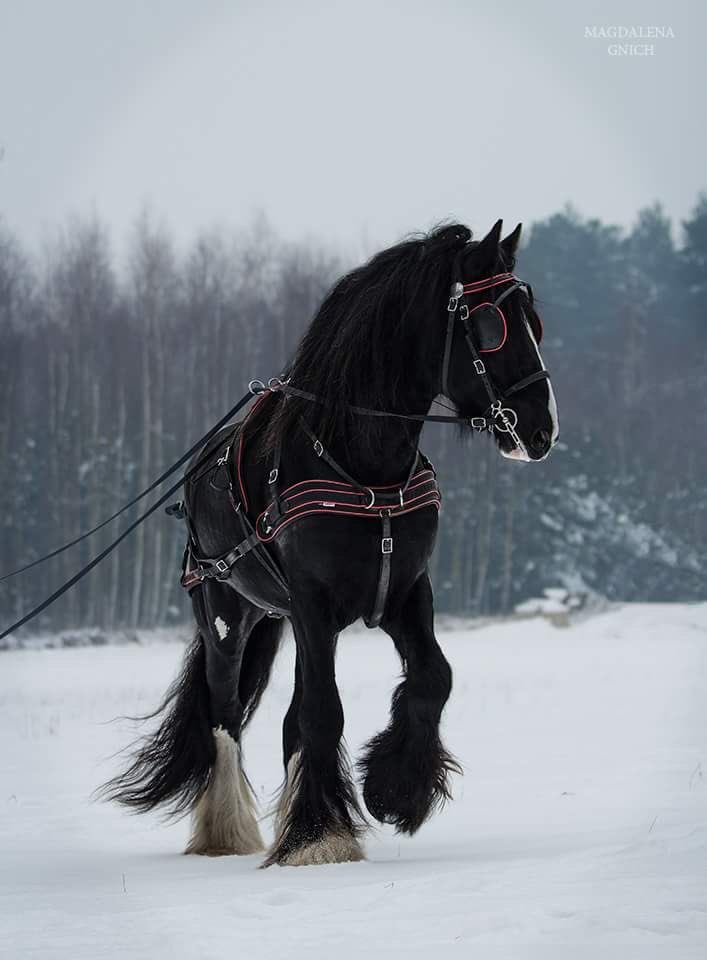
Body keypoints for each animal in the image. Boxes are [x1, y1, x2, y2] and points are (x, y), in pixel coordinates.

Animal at [101, 219, 559, 867]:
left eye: (534, 321)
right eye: (491, 325)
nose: (541, 429)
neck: (363, 464)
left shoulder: (403, 594)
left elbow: (432, 678)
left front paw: (395, 791)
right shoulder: (314, 607)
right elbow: (322, 713)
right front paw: (320, 835)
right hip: (226, 616)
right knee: (224, 715)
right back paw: (227, 830)